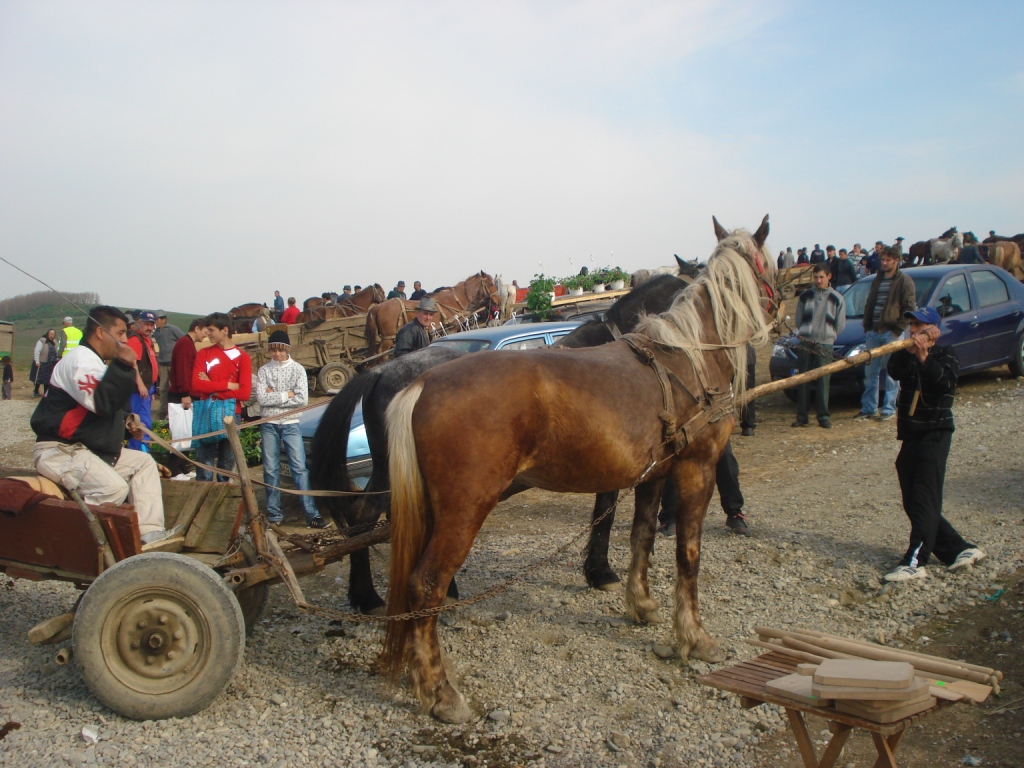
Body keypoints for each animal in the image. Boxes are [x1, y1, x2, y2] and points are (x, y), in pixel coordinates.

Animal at [364, 272, 499, 360]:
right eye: (490, 283)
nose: (497, 300)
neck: (455, 300)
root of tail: (377, 307)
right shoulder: (452, 328)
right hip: (388, 338)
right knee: (381, 352)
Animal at [382, 215, 774, 720]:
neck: (687, 355)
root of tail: (424, 383)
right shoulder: (697, 469)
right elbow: (688, 554)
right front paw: (694, 637)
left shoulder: (653, 476)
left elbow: (642, 536)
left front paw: (641, 604)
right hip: (463, 512)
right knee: (425, 585)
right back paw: (442, 693)